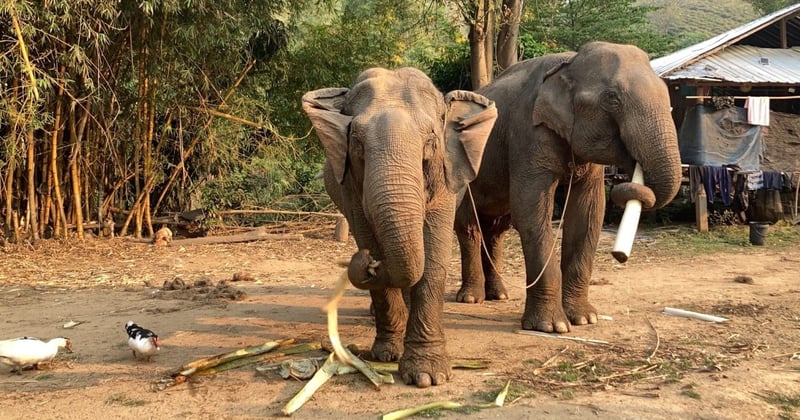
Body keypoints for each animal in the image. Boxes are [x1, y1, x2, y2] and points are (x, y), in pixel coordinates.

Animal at [301, 67, 498, 387]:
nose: (365, 261)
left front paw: (428, 376)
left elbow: (432, 259)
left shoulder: (445, 178)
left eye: (431, 141)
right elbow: (370, 234)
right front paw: (386, 355)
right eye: (356, 142)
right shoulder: (352, 188)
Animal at [454, 41, 682, 333]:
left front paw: (584, 318)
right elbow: (530, 208)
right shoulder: (528, 132)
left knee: (496, 231)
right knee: (470, 228)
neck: (569, 62)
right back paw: (471, 298)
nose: (620, 256)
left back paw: (499, 295)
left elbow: (589, 212)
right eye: (612, 98)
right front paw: (552, 327)